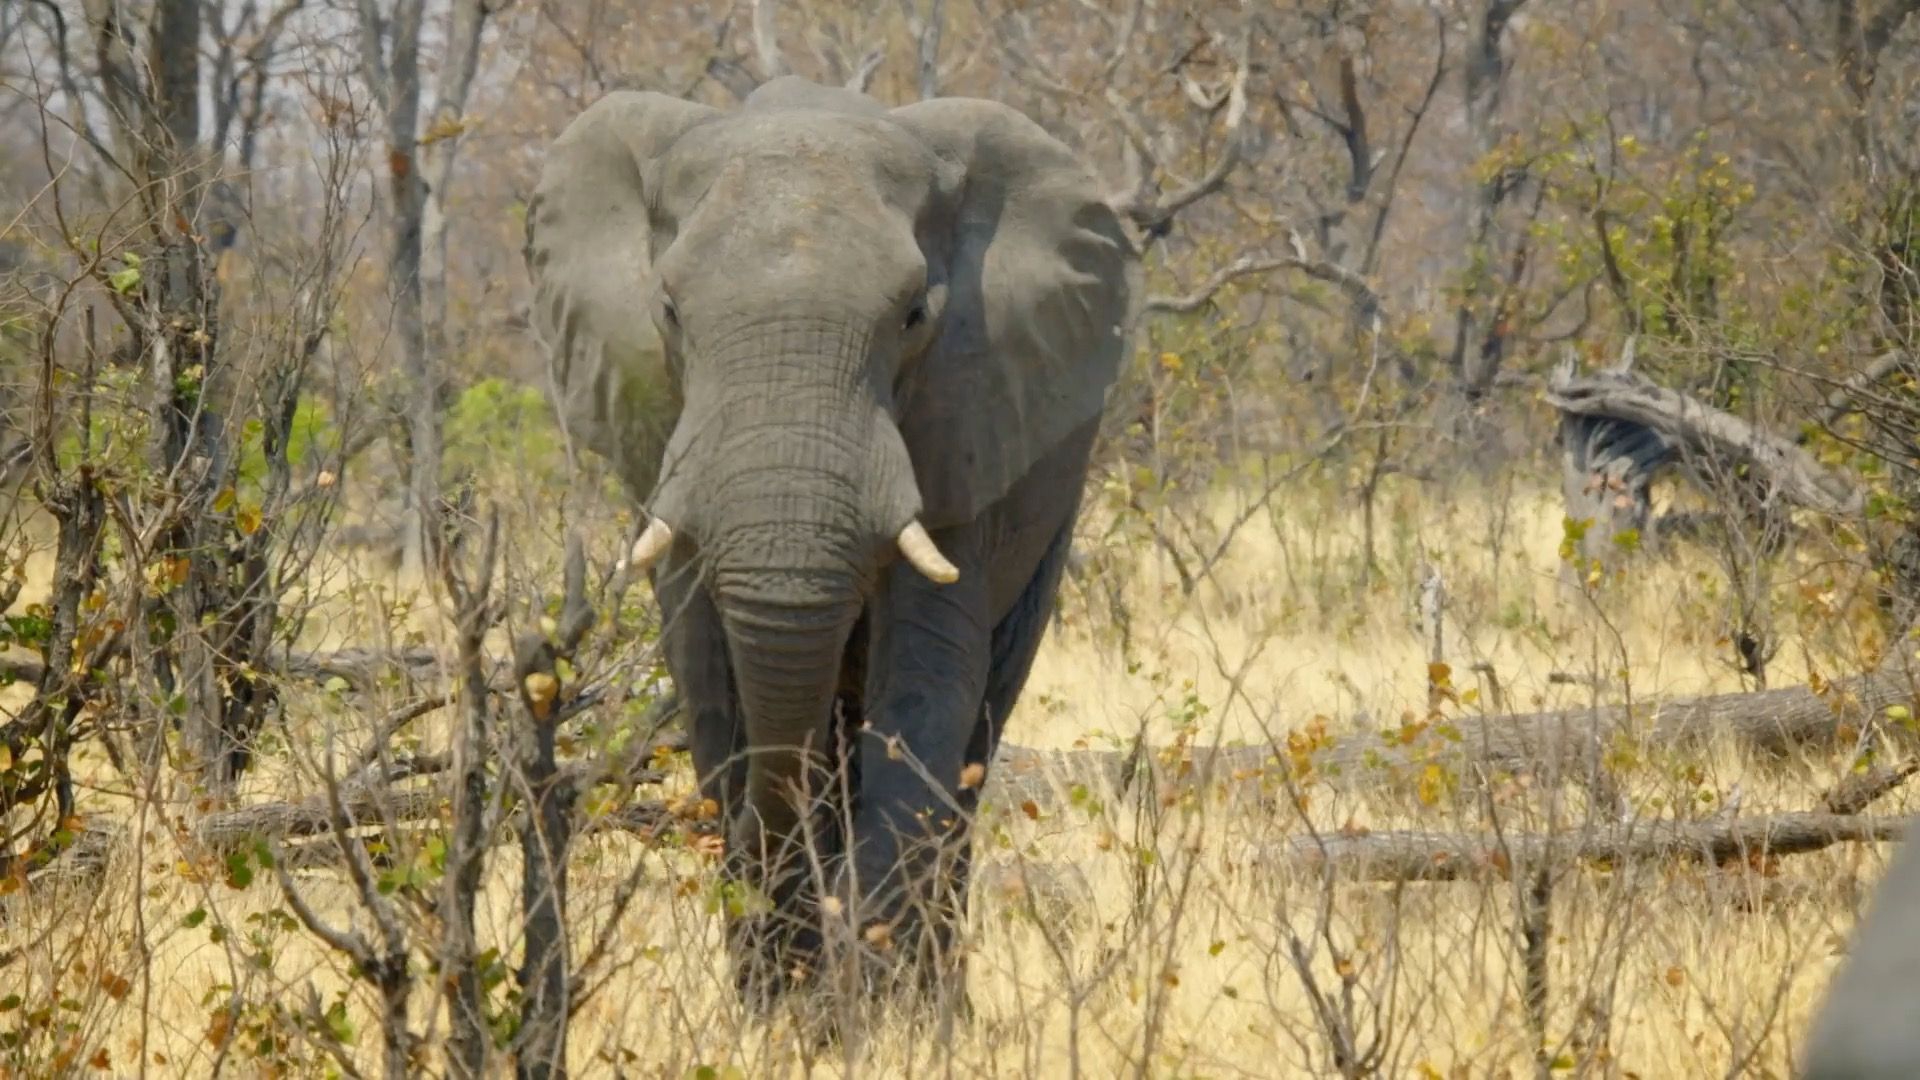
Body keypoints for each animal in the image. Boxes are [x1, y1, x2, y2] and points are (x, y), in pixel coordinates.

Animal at [522, 75, 1138, 1011]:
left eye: (915, 316)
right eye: (668, 311)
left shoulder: (967, 409)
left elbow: (925, 679)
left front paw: (871, 1009)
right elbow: (709, 672)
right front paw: (780, 1007)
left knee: (978, 729)